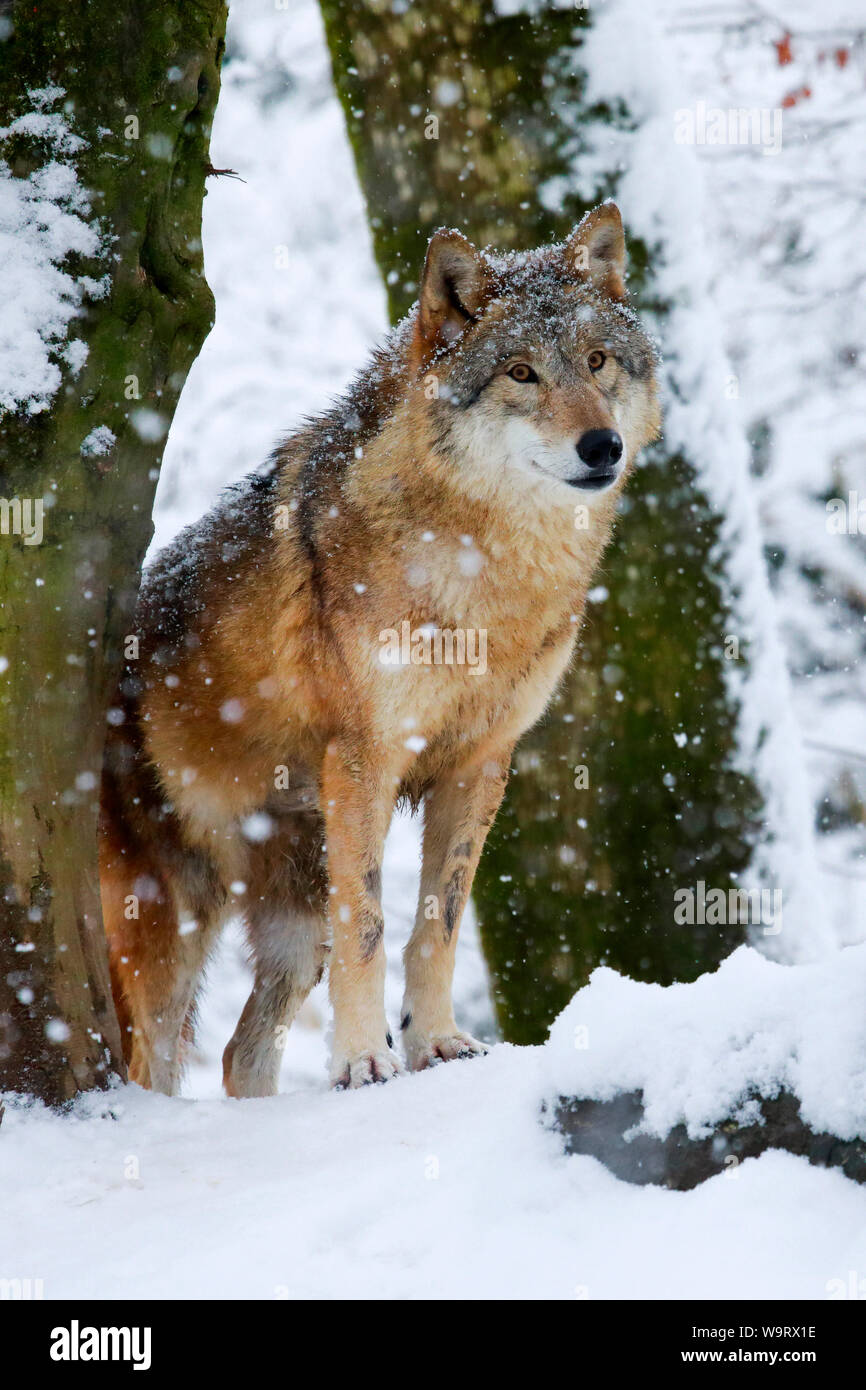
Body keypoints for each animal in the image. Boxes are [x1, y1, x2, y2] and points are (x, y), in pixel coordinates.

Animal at [99, 202, 660, 1096]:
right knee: (152, 1063)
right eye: (521, 373)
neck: (485, 571)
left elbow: (440, 922)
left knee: (238, 1055)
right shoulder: (365, 759)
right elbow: (369, 918)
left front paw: (438, 1043)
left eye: (597, 361)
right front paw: (366, 1059)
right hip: (172, 926)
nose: (602, 446)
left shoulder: (481, 761)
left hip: (293, 920)